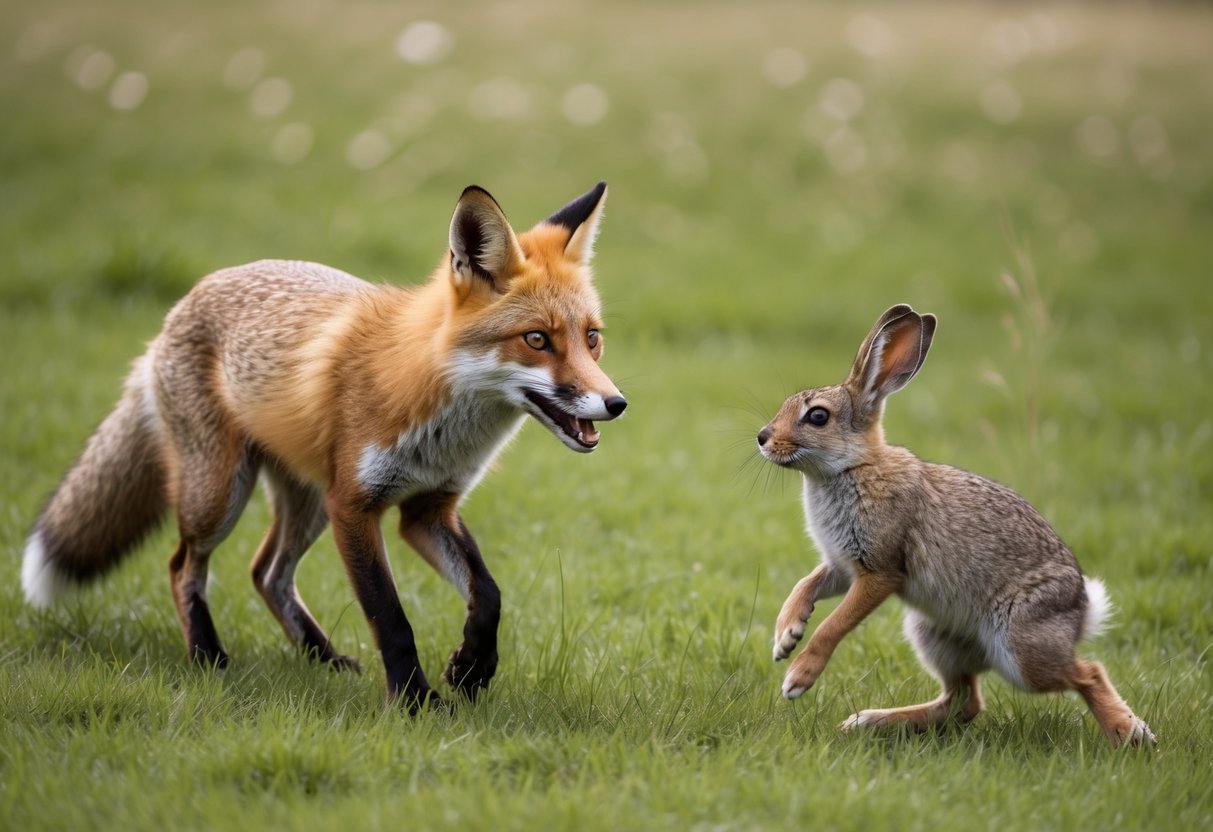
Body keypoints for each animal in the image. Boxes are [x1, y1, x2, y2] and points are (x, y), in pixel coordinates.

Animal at [21, 182, 627, 710]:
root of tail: (181, 304)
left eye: (592, 338)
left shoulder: (428, 509)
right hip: (220, 495)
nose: (616, 403)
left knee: (266, 573)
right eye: (537, 339)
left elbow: (488, 594)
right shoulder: (354, 506)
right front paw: (416, 703)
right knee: (183, 565)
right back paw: (207, 656)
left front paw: (472, 670)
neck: (437, 413)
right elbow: (391, 618)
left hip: (307, 501)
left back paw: (323, 659)